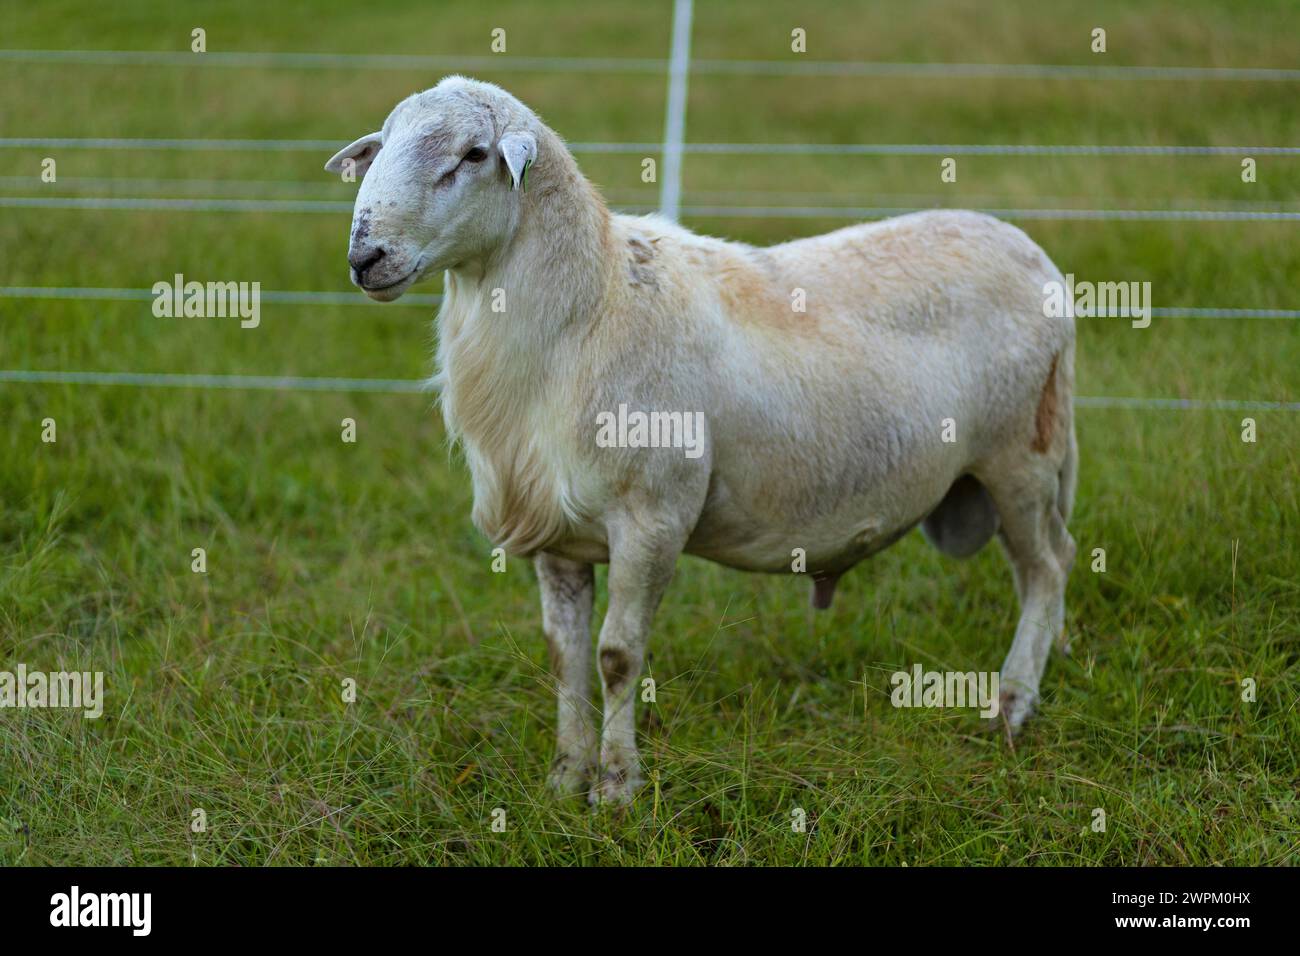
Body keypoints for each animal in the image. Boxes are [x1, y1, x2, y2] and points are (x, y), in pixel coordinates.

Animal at [325, 75, 1077, 805]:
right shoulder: (557, 537)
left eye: (474, 155)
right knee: (1047, 563)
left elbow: (617, 656)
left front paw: (617, 787)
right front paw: (565, 779)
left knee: (1048, 566)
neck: (591, 309)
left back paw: (1014, 701)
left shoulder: (653, 517)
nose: (365, 258)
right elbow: (565, 658)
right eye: (382, 145)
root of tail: (1034, 254)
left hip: (1022, 455)